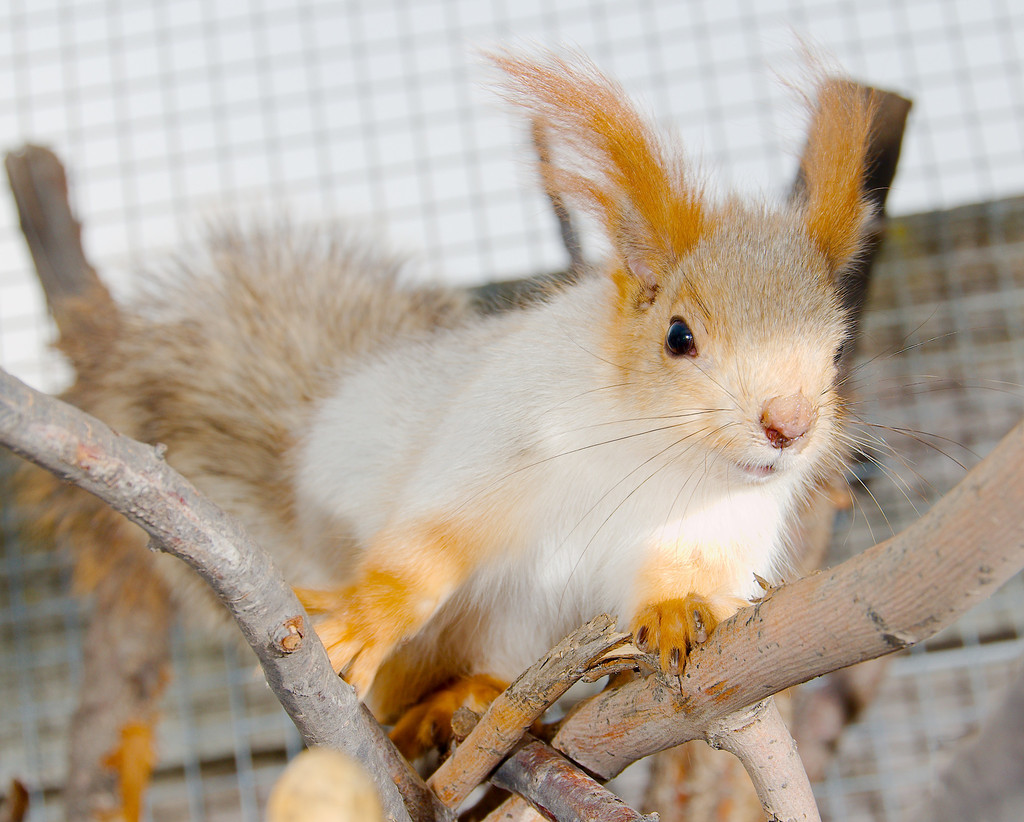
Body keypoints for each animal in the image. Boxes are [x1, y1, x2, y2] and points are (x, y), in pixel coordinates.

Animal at [13, 50, 876, 762]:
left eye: (838, 351)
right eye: (679, 336)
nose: (788, 426)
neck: (652, 451)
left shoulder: (713, 525)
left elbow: (686, 575)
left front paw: (673, 612)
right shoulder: (504, 445)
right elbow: (427, 550)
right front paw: (369, 619)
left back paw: (473, 699)